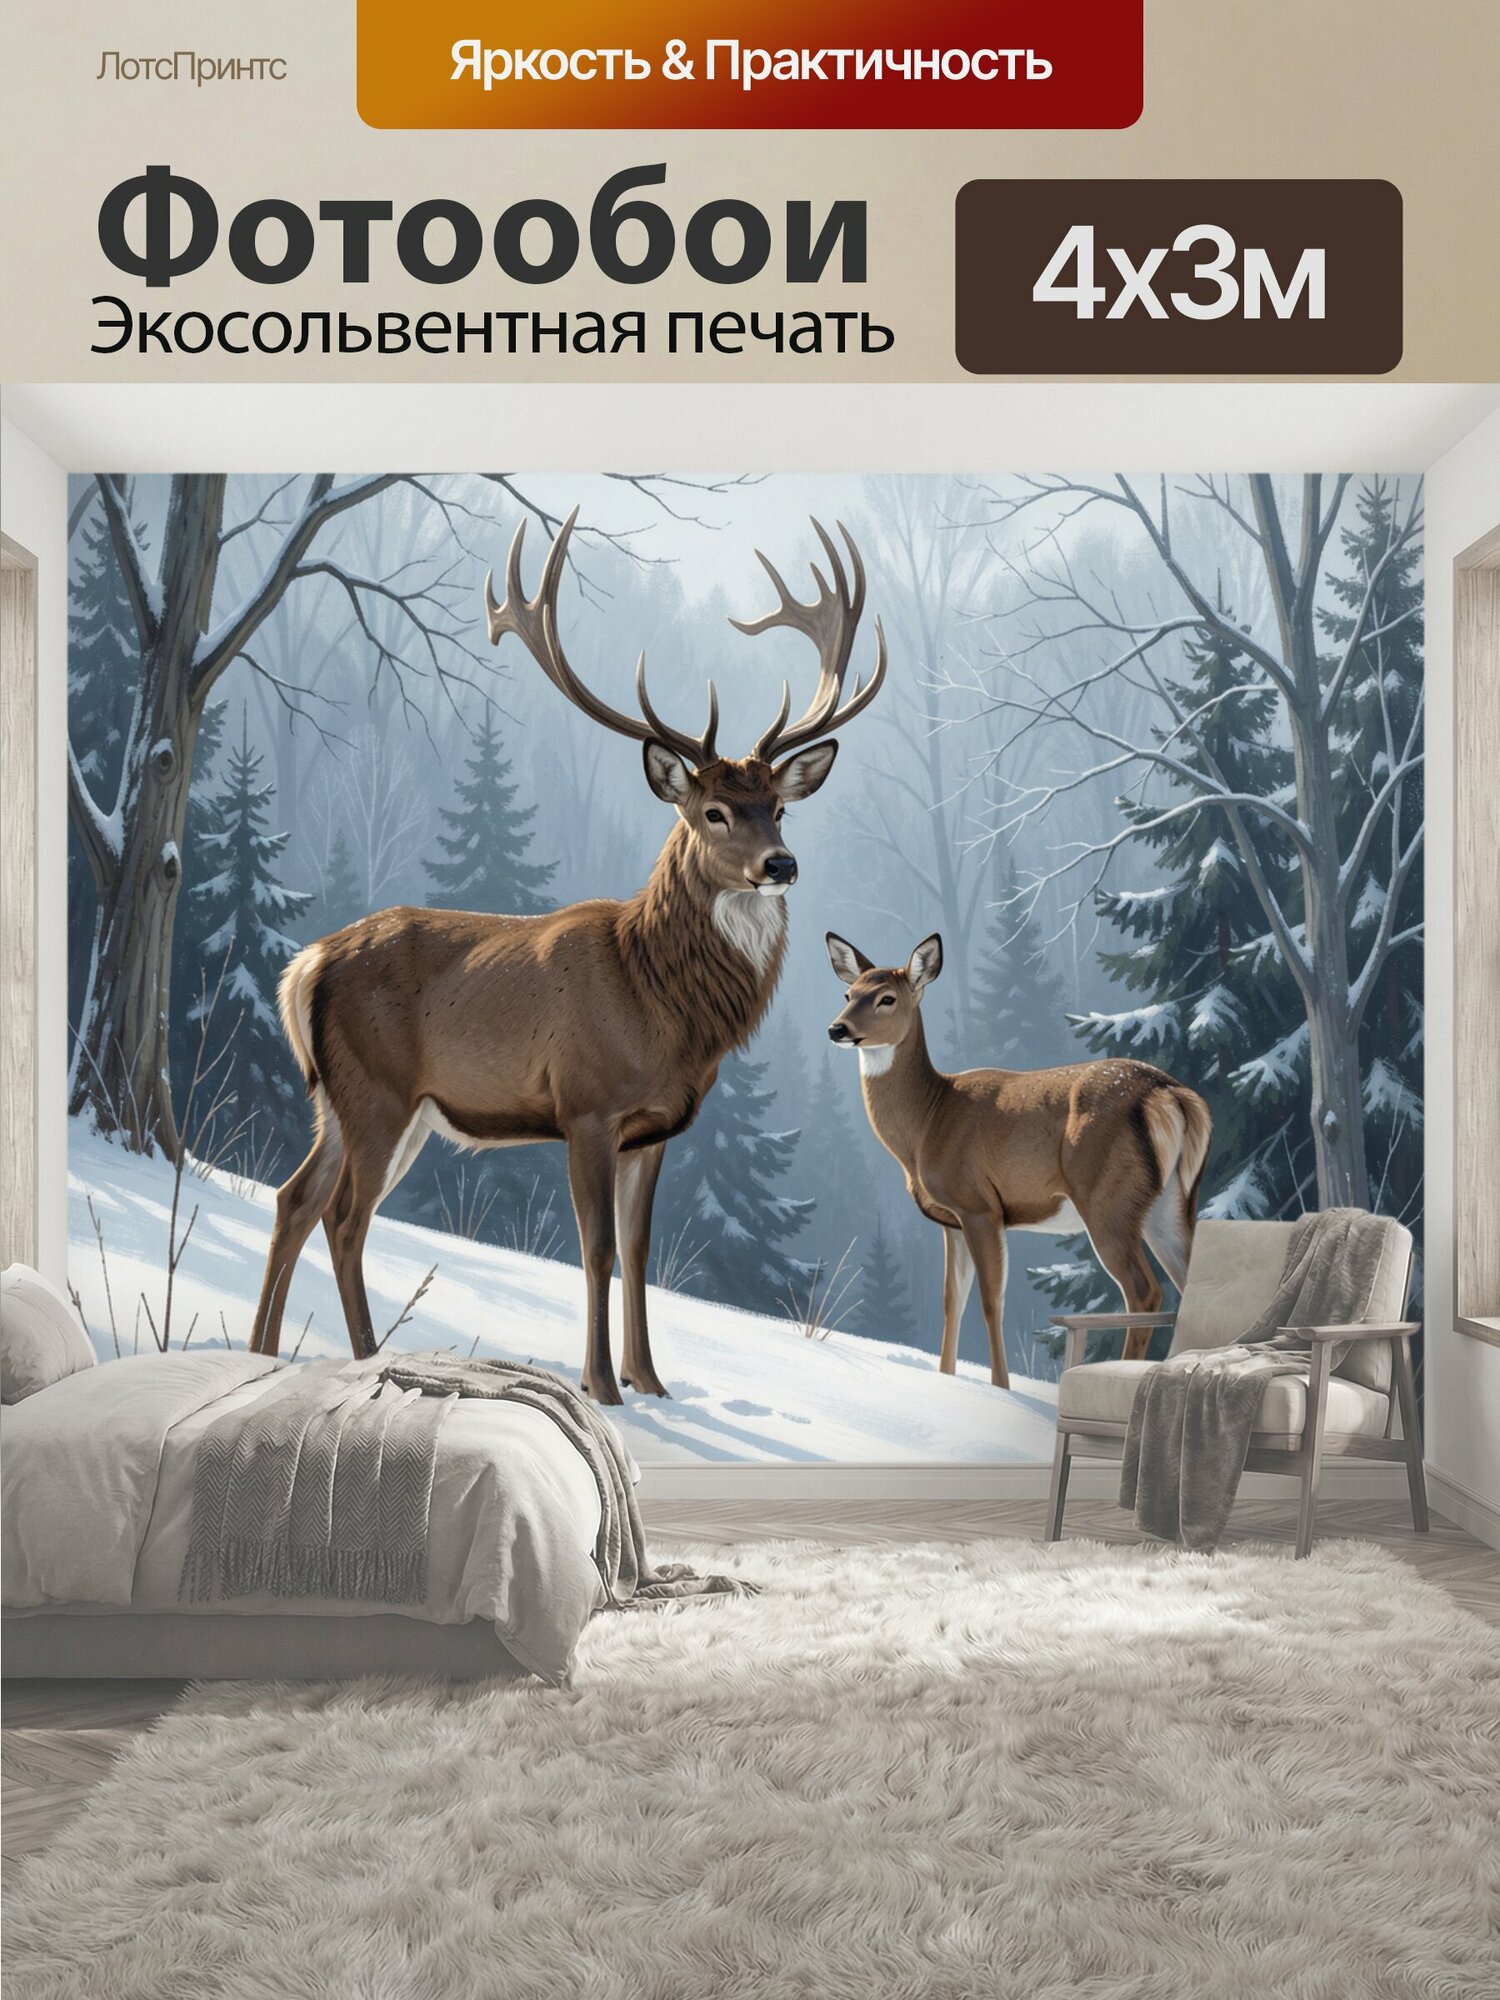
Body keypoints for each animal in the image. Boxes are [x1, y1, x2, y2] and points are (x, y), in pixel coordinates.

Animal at [248, 511, 886, 1402]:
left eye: (780, 808)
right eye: (714, 811)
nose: (781, 865)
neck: (661, 1002)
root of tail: (306, 964)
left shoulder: (655, 1129)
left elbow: (644, 1252)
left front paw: (652, 1383)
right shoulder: (585, 1103)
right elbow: (597, 1248)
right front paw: (603, 1387)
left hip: (345, 1099)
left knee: (292, 1199)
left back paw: (260, 1357)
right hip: (377, 1089)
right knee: (344, 1216)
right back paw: (371, 1359)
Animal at [824, 933, 1212, 1385]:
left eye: (886, 998)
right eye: (849, 993)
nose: (837, 1028)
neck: (928, 1121)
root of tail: (1171, 1094)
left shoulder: (980, 1205)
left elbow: (991, 1302)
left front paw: (1001, 1386)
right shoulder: (951, 1221)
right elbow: (951, 1301)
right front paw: (947, 1377)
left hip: (1108, 1198)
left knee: (1145, 1291)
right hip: (1171, 1203)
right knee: (1190, 1285)